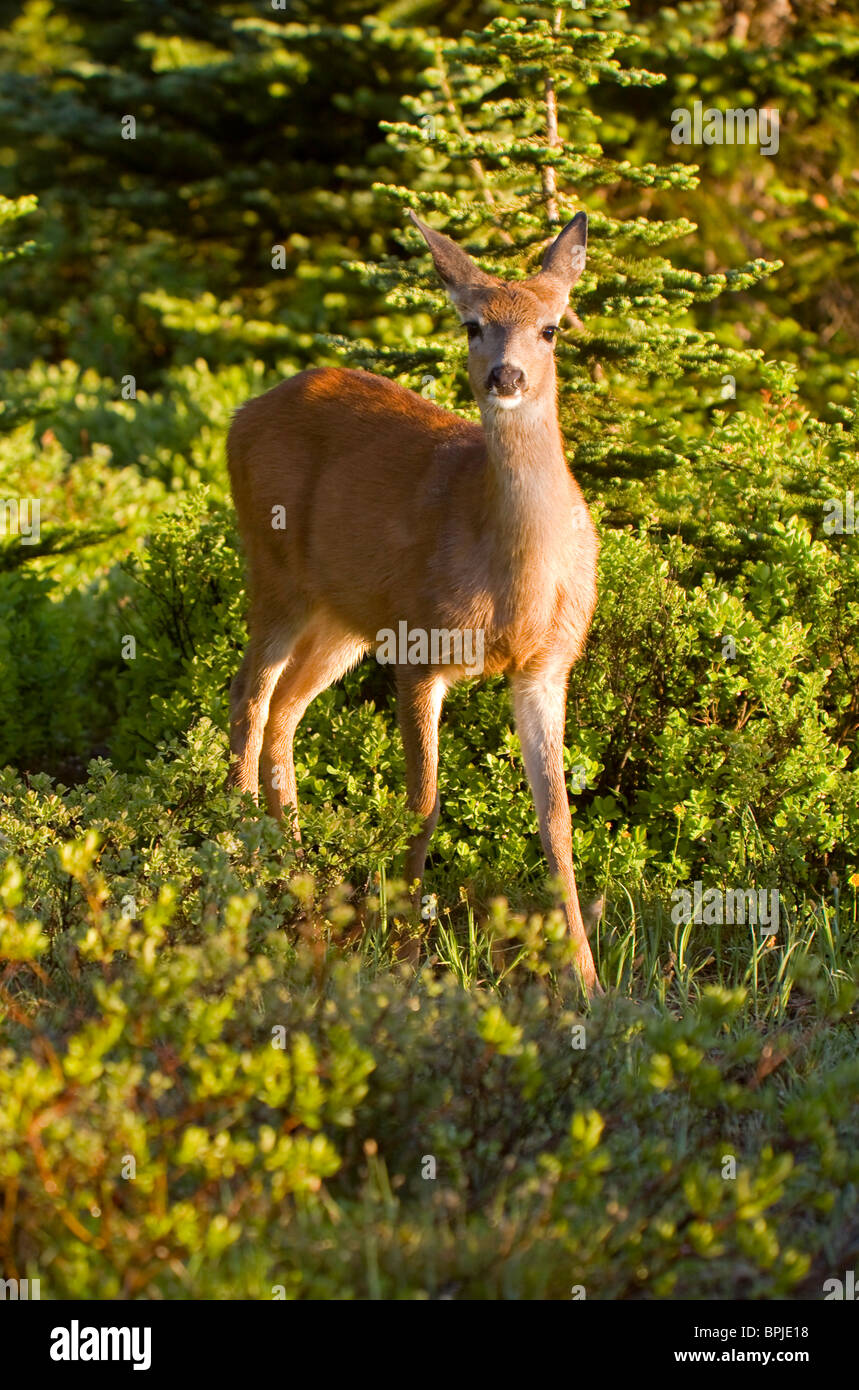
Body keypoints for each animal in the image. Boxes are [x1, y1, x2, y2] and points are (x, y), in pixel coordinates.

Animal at [226, 209, 602, 995]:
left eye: (551, 327)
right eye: (471, 323)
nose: (506, 376)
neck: (516, 579)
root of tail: (240, 414)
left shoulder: (546, 667)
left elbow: (556, 821)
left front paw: (589, 980)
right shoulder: (420, 648)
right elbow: (422, 807)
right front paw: (403, 956)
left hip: (340, 618)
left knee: (284, 711)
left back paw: (297, 880)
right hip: (274, 575)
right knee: (249, 697)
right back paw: (245, 860)